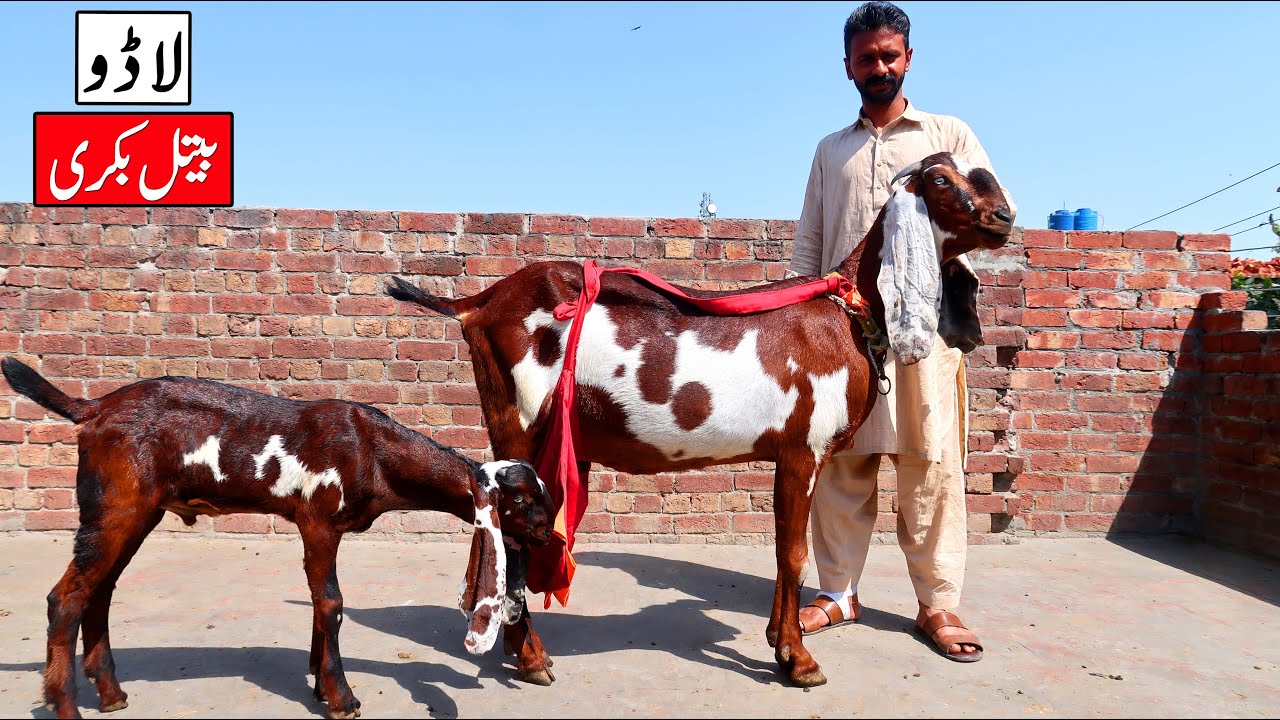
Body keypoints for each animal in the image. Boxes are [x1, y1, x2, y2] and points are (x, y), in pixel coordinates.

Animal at [0, 358, 555, 720]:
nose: (549, 536)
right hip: (116, 507)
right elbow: (330, 602)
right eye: (525, 501)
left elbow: (317, 600)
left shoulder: (319, 528)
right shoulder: (318, 520)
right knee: (66, 597)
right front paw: (341, 698)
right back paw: (67, 706)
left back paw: (111, 694)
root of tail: (93, 407)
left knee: (100, 590)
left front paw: (318, 685)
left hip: (136, 513)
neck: (373, 450)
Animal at [386, 151, 1014, 688]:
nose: (1004, 216)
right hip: (517, 420)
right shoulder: (802, 449)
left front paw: (779, 640)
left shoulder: (790, 454)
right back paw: (532, 657)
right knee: (506, 535)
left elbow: (785, 549)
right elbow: (794, 552)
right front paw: (798, 660)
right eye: (940, 182)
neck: (842, 313)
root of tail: (479, 303)